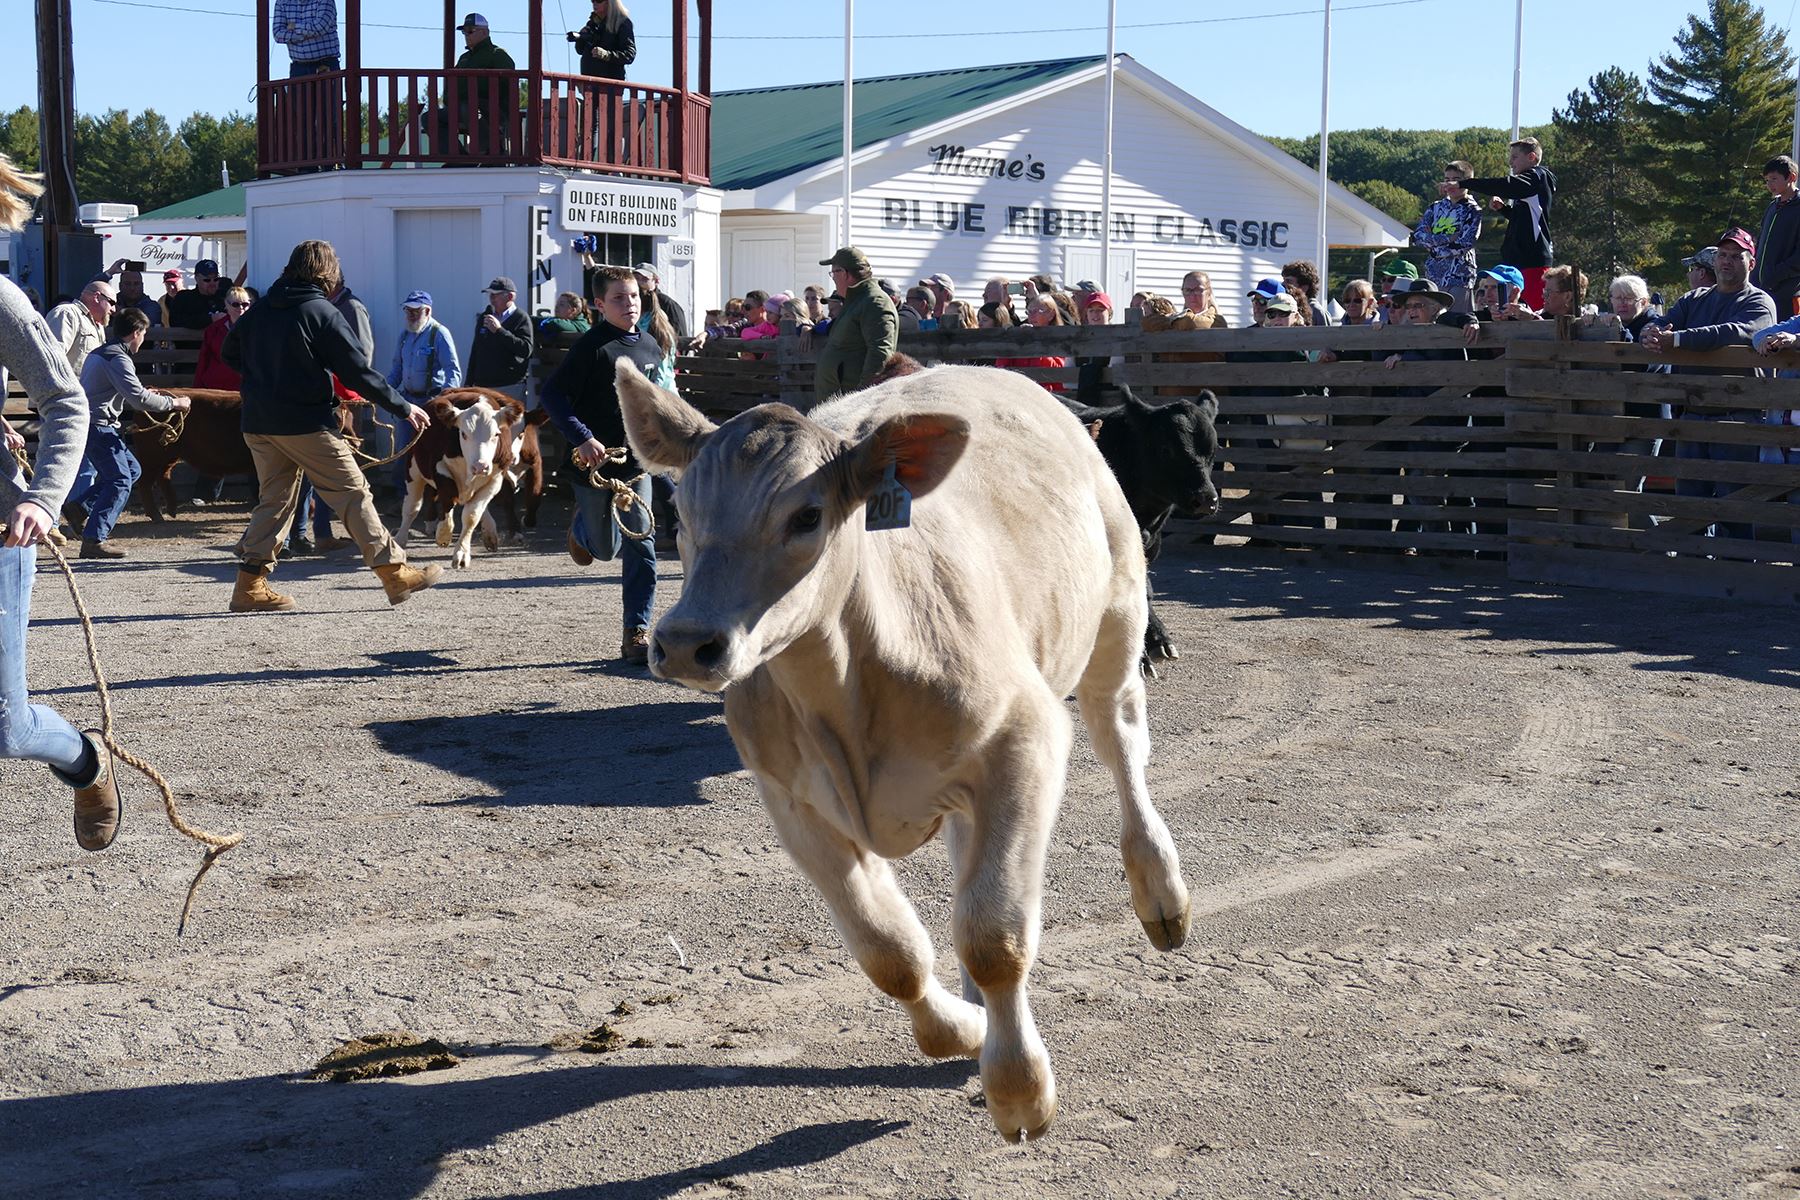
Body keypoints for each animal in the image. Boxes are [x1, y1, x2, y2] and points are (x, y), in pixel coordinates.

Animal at [395, 388, 525, 568]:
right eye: (463, 434)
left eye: (496, 434)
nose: (480, 466)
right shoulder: (438, 468)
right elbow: (448, 498)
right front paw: (443, 534)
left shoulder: (495, 479)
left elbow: (472, 514)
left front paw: (462, 553)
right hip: (413, 470)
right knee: (411, 508)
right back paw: (400, 541)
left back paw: (489, 534)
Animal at [616, 358, 1191, 1142]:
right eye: (679, 511)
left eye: (807, 516)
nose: (682, 642)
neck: (849, 682)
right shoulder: (792, 801)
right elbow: (888, 951)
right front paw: (960, 1030)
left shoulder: (1025, 741)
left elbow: (995, 936)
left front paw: (1018, 1090)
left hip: (1117, 612)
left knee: (1122, 744)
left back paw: (1161, 894)